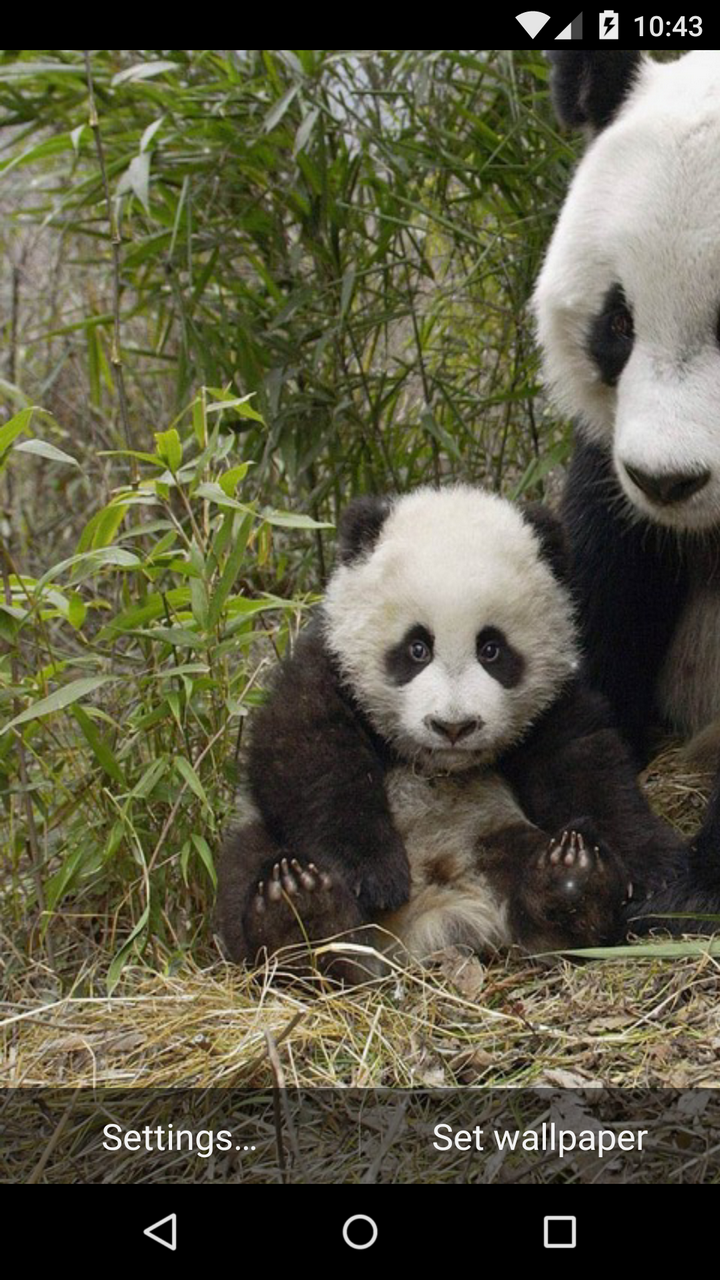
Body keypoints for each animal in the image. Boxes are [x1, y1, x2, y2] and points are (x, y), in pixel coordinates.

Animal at [217, 486, 686, 975]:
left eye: (492, 649)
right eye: (417, 648)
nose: (454, 726)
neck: (437, 766)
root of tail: (435, 916)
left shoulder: (554, 699)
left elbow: (586, 765)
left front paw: (653, 867)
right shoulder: (327, 664)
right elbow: (306, 752)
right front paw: (372, 874)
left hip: (492, 832)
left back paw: (572, 884)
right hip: (261, 841)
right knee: (247, 865)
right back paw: (300, 917)